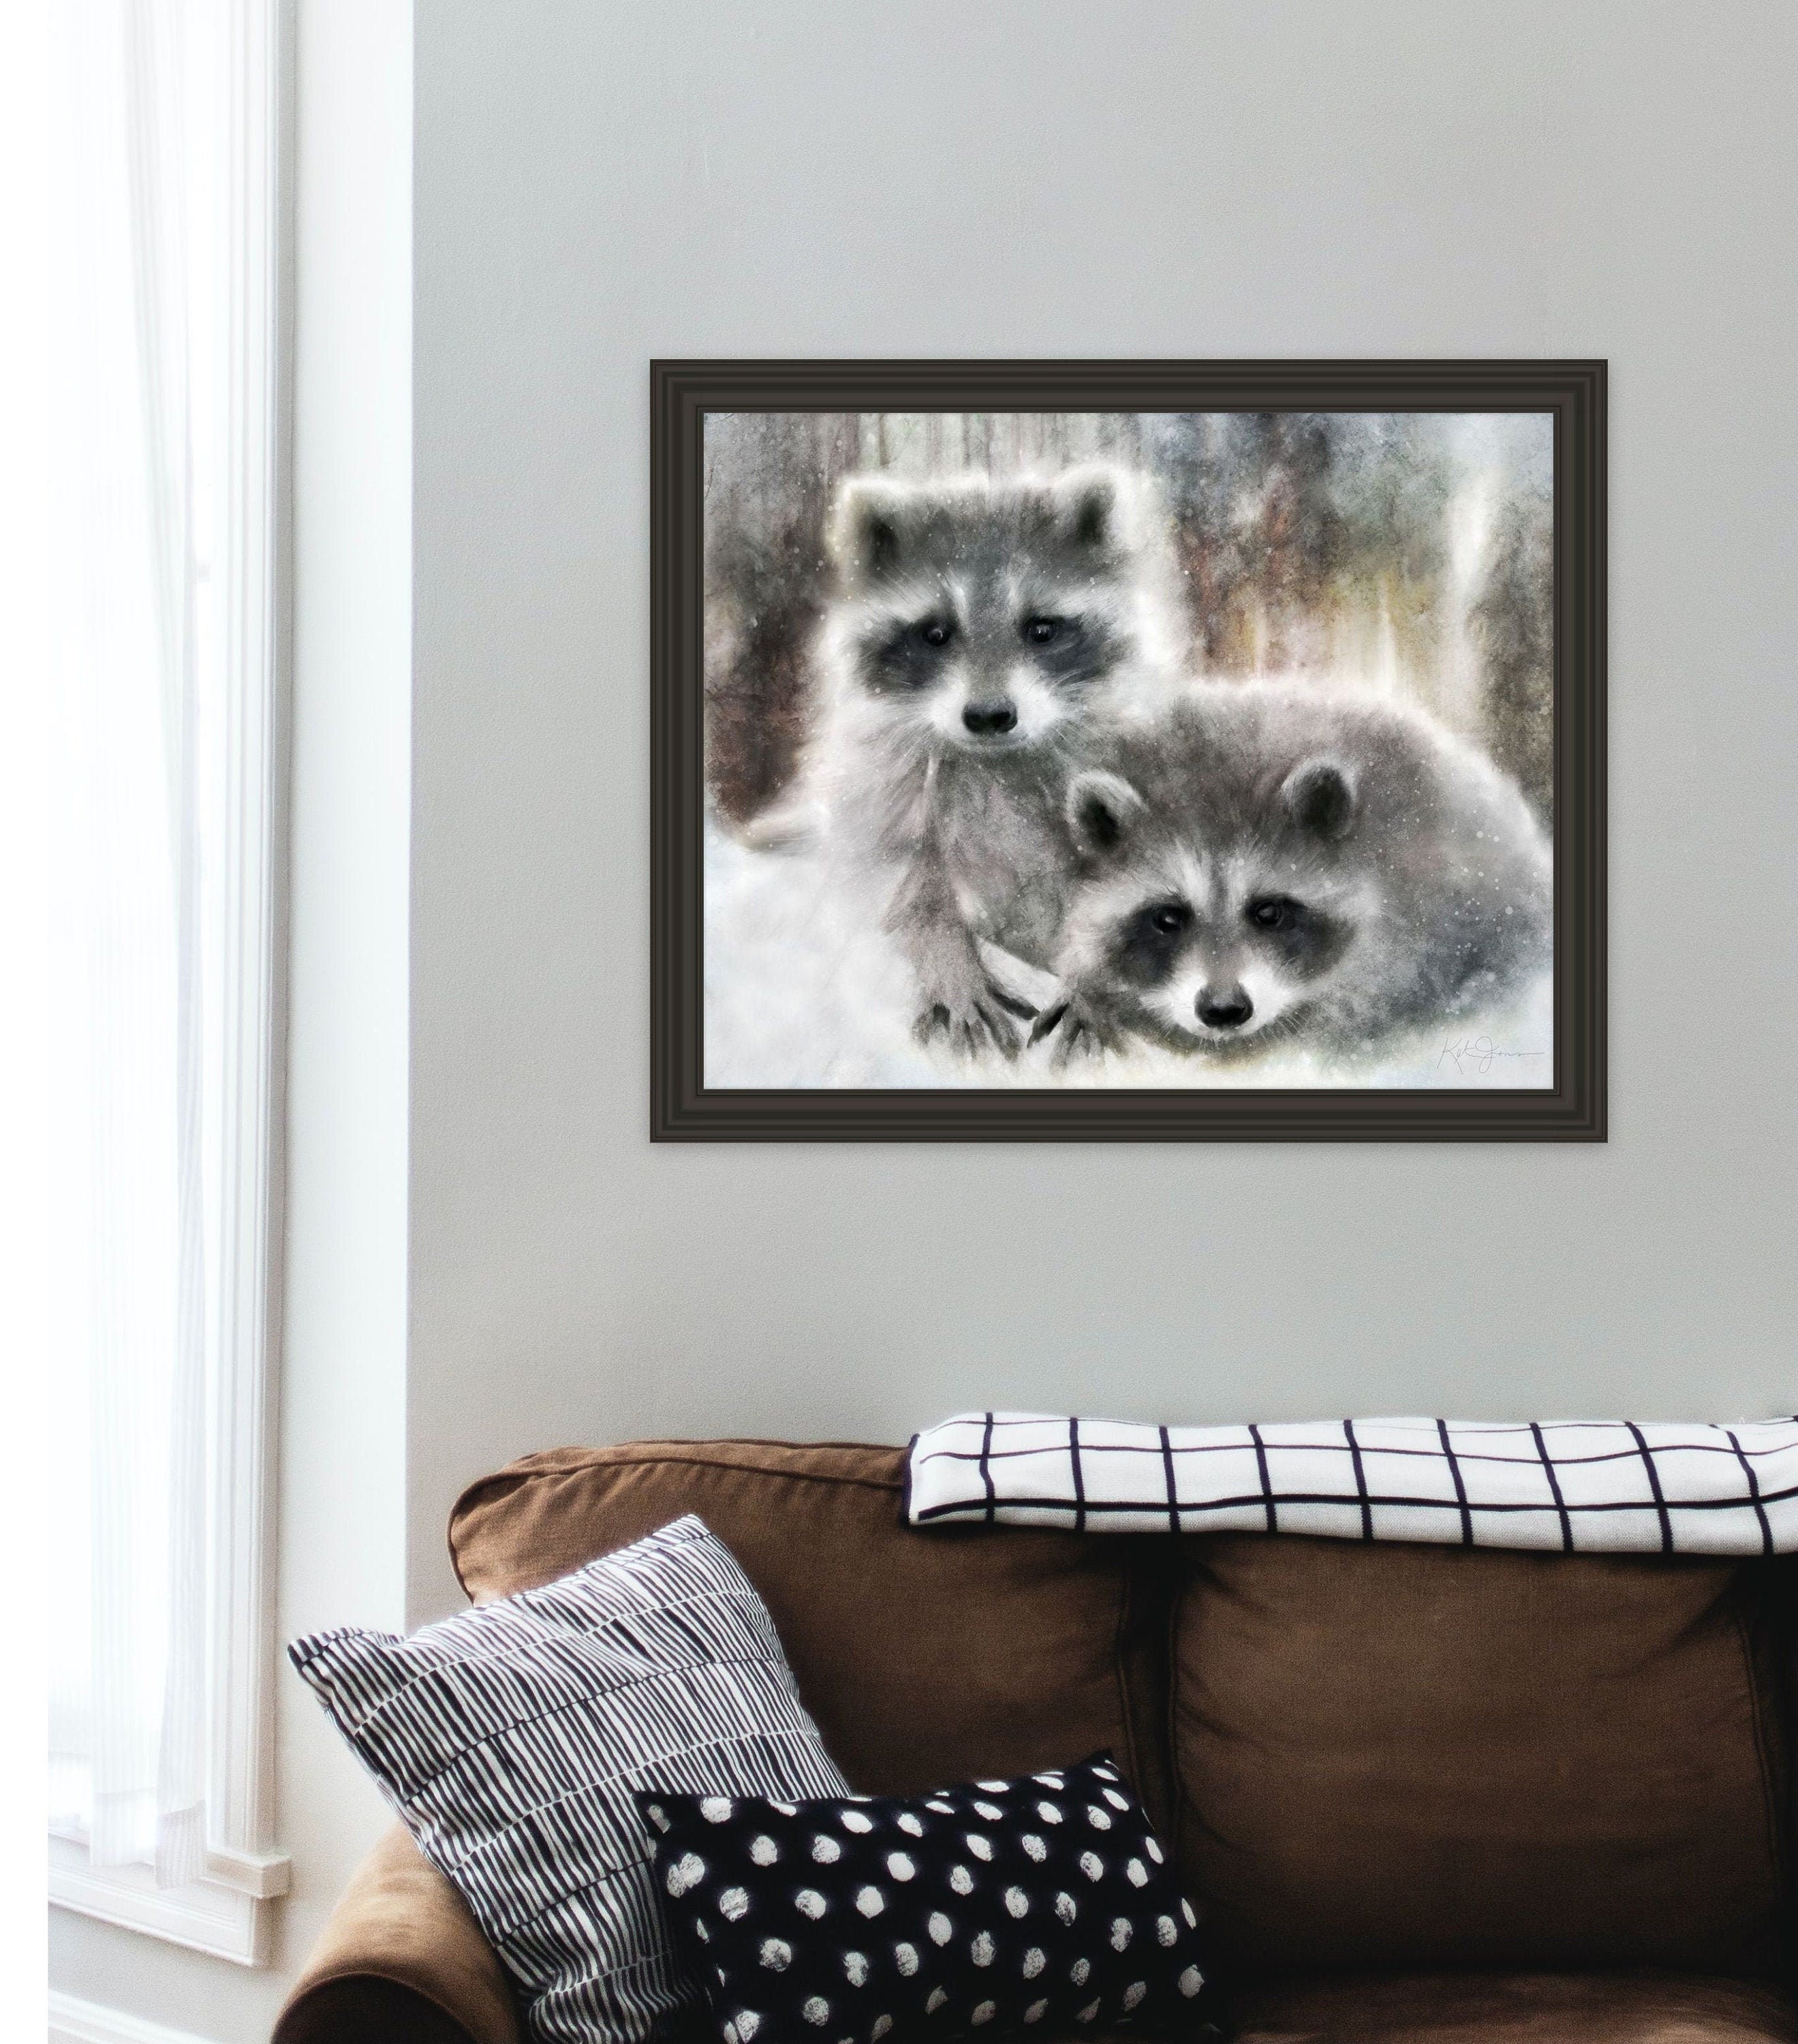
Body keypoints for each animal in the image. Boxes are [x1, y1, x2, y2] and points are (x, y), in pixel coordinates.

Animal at [799, 464, 1187, 1056]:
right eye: (934, 633)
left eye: (1042, 630)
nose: (988, 717)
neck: (995, 762)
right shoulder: (889, 789)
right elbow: (904, 886)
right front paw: (947, 960)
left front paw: (1093, 989)